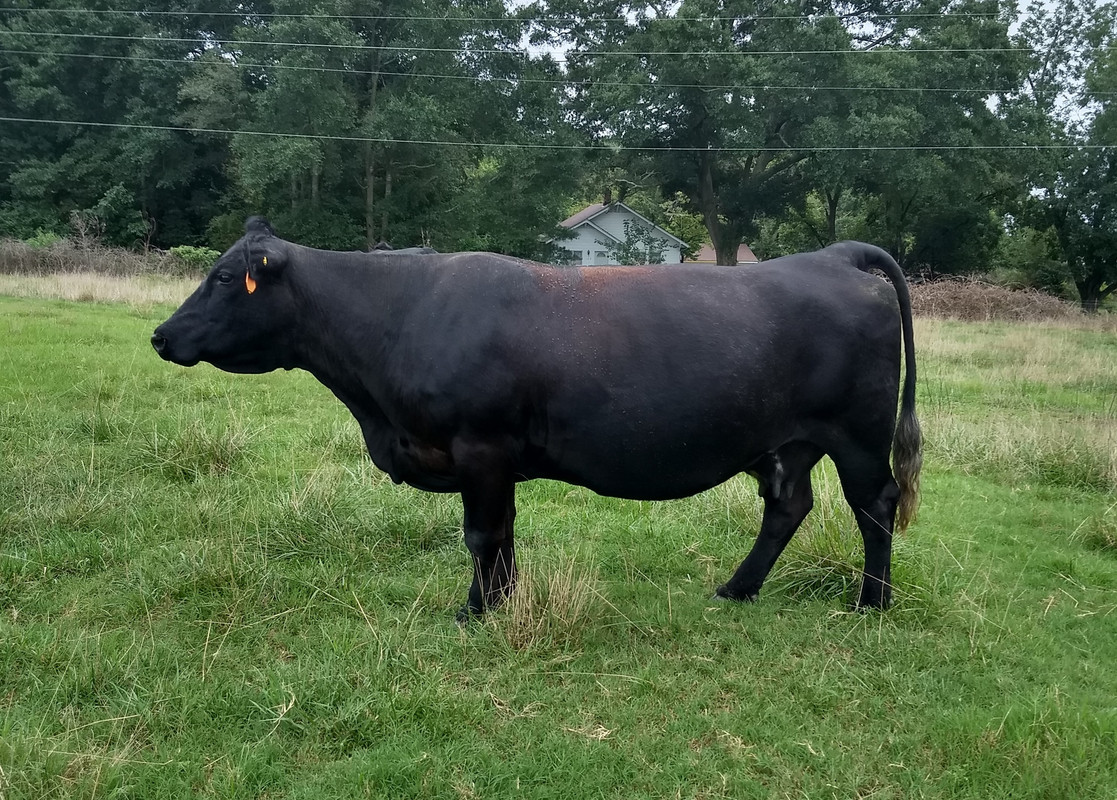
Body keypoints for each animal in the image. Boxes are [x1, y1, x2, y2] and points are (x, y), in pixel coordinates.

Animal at [152, 217, 922, 621]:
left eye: (223, 278)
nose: (161, 335)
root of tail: (834, 256)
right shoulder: (491, 461)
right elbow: (505, 534)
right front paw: (504, 599)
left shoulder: (479, 446)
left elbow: (481, 533)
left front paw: (476, 611)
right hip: (786, 441)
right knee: (787, 505)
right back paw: (737, 587)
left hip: (857, 435)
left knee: (873, 505)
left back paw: (871, 602)